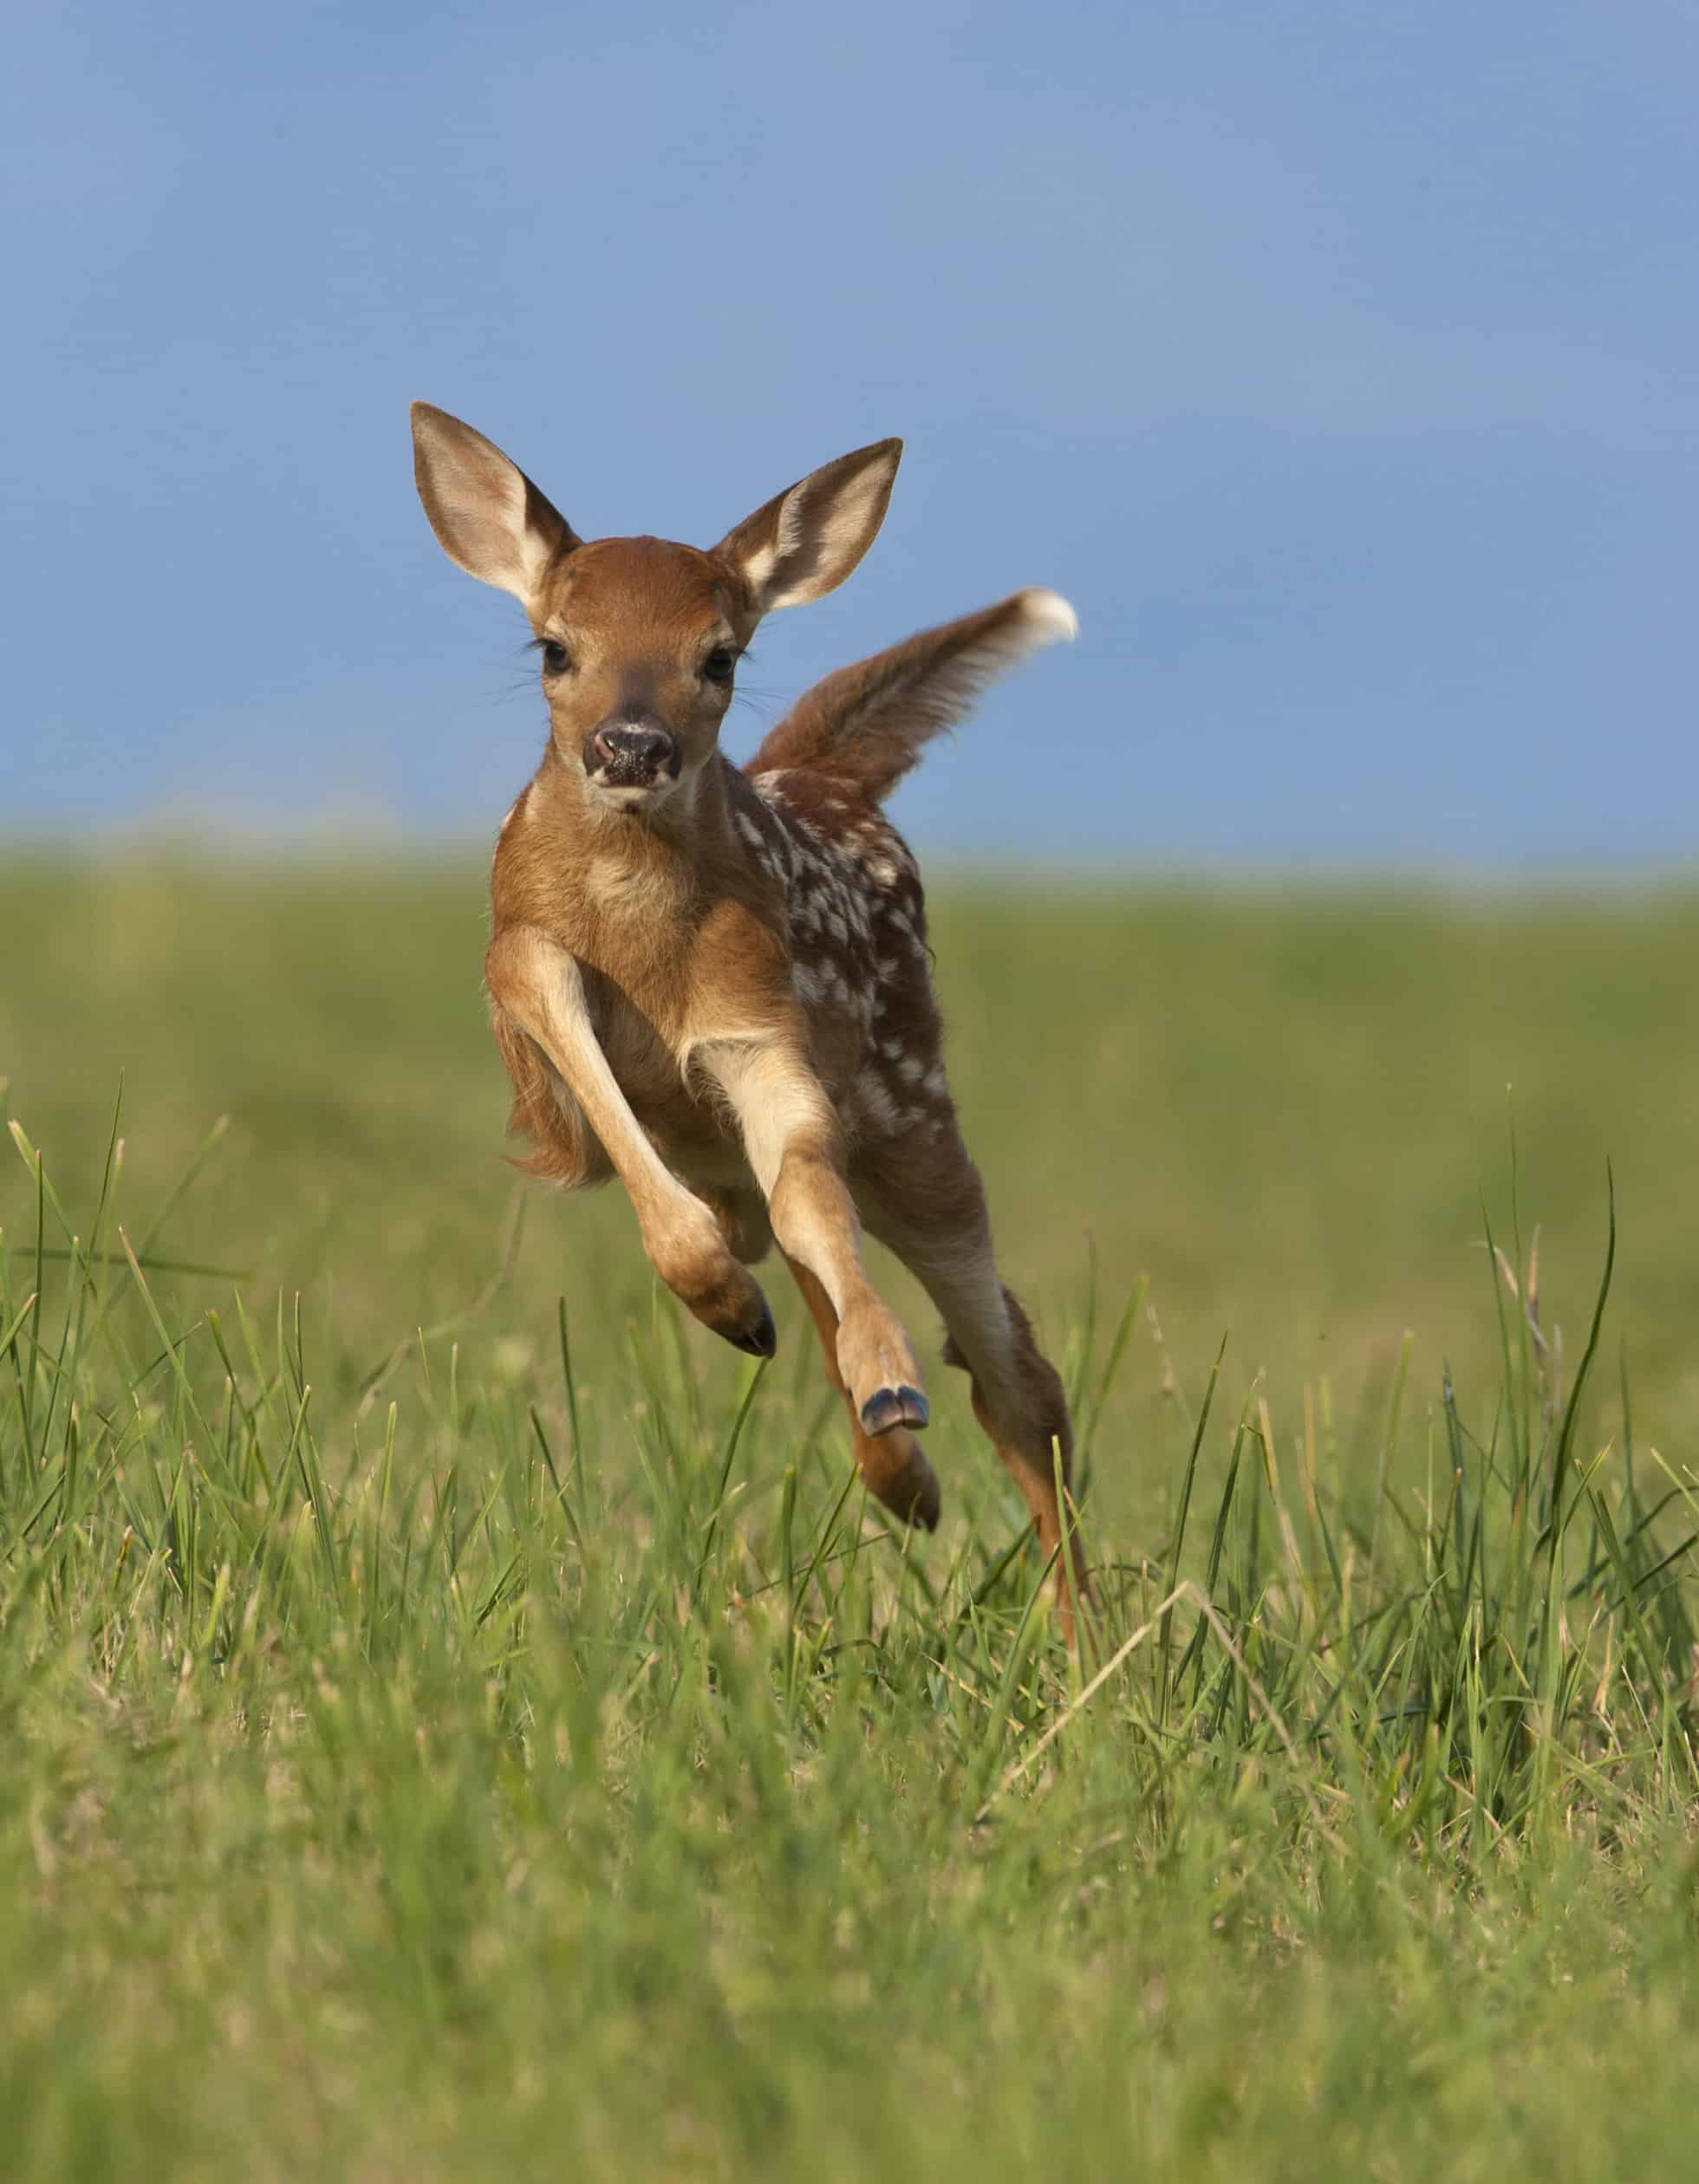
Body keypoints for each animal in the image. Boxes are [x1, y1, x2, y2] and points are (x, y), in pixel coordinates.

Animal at [410, 403, 1087, 1636]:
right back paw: (899, 1472)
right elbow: (561, 1013)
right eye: (553, 647)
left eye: (718, 655)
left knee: (1017, 1380)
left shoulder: (759, 1029)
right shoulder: (519, 964)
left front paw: (885, 1372)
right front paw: (733, 1306)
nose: (631, 747)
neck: (644, 938)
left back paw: (1073, 1632)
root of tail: (823, 777)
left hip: (918, 1120)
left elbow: (815, 1198)